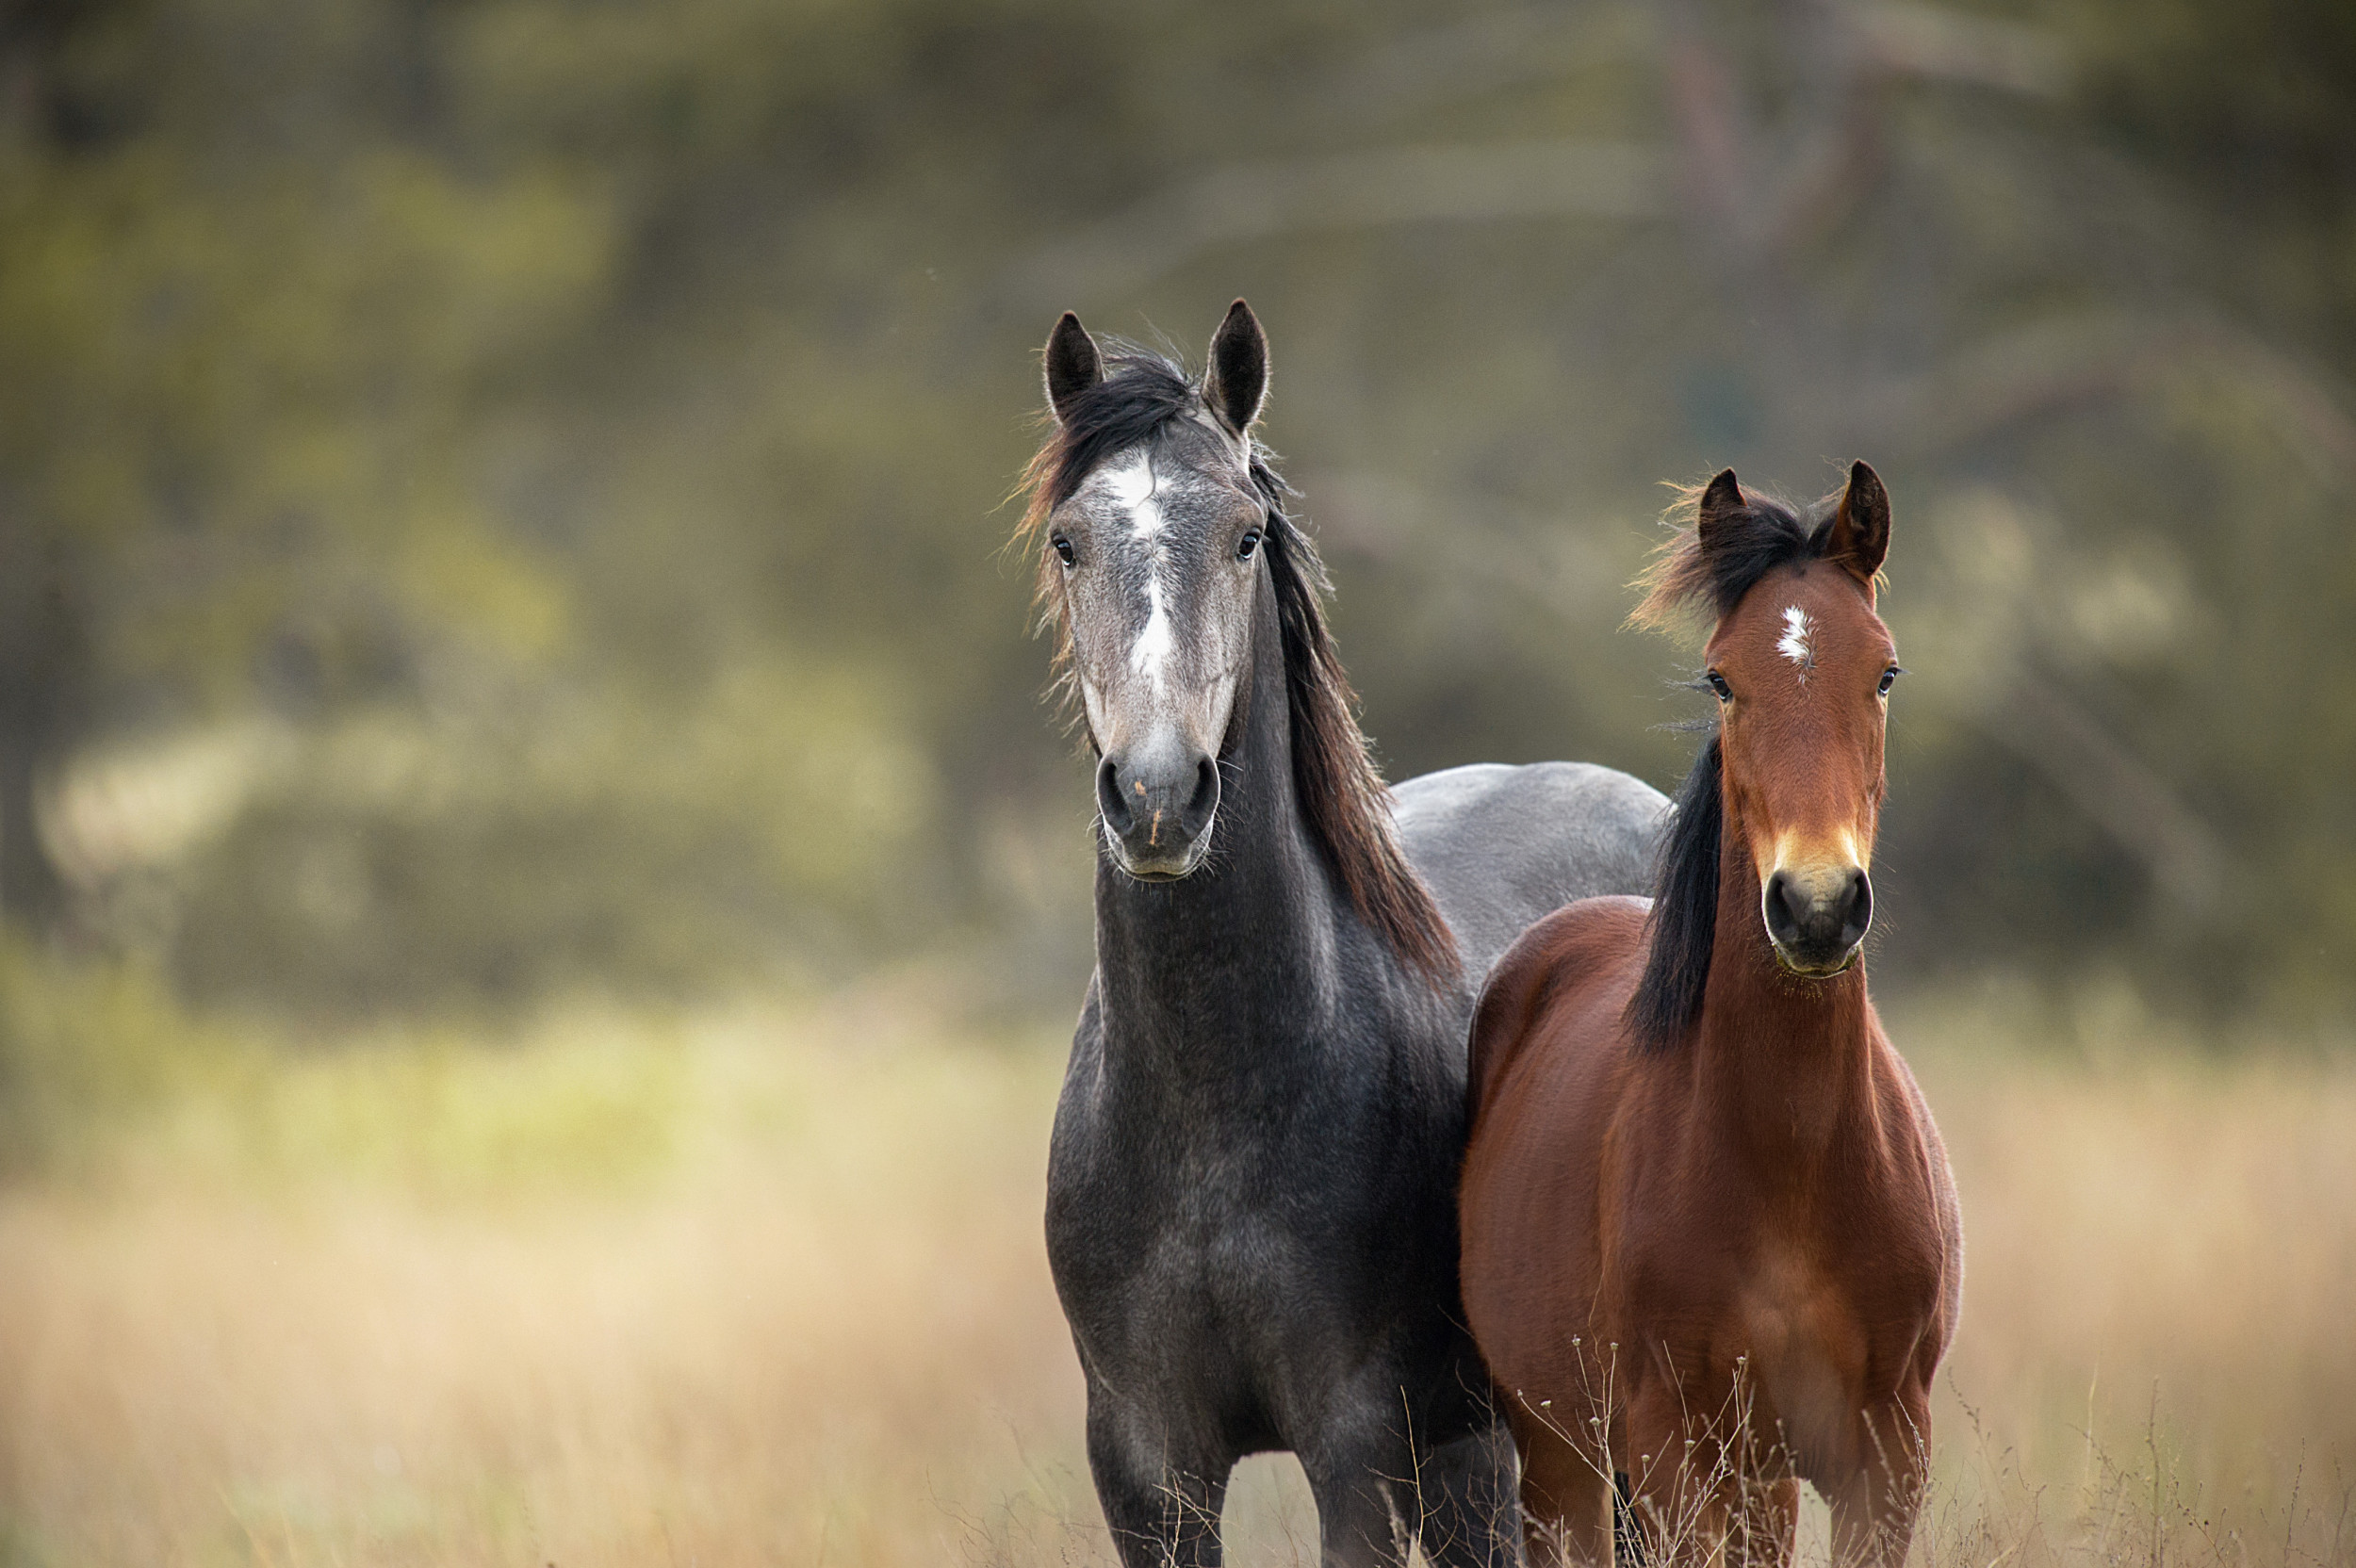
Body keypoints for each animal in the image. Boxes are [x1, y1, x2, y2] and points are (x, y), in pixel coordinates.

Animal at [1022, 300, 1670, 1568]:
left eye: (1243, 535)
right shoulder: (1146, 1466)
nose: (1159, 795)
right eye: (1070, 541)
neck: (1211, 1110)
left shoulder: (1358, 1444)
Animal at [1457, 464, 1963, 1568]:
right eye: (1721, 680)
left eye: (1886, 673)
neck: (1793, 1159)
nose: (1816, 905)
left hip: (1758, 1479)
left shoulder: (1887, 1455)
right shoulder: (1673, 1451)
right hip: (1564, 1457)